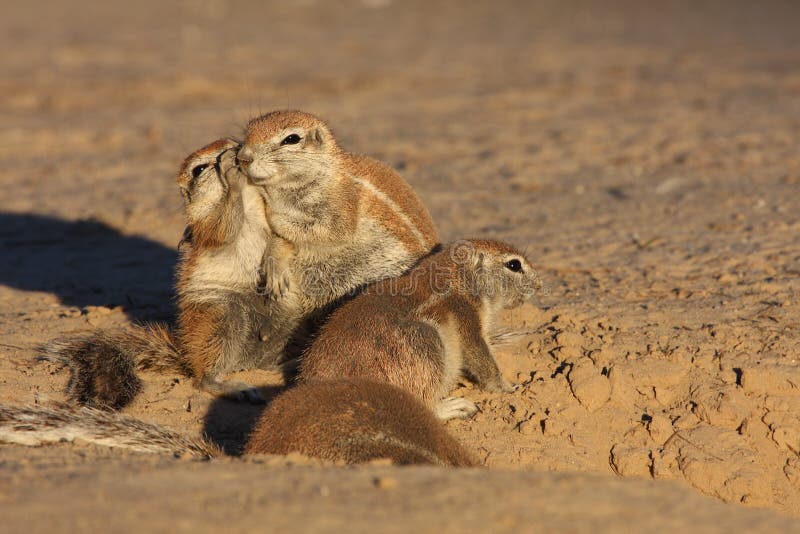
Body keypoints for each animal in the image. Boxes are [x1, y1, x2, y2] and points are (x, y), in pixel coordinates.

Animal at [299, 239, 541, 420]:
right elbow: (483, 359)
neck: (459, 275)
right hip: (426, 340)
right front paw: (510, 388)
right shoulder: (467, 317)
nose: (539, 285)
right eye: (514, 265)